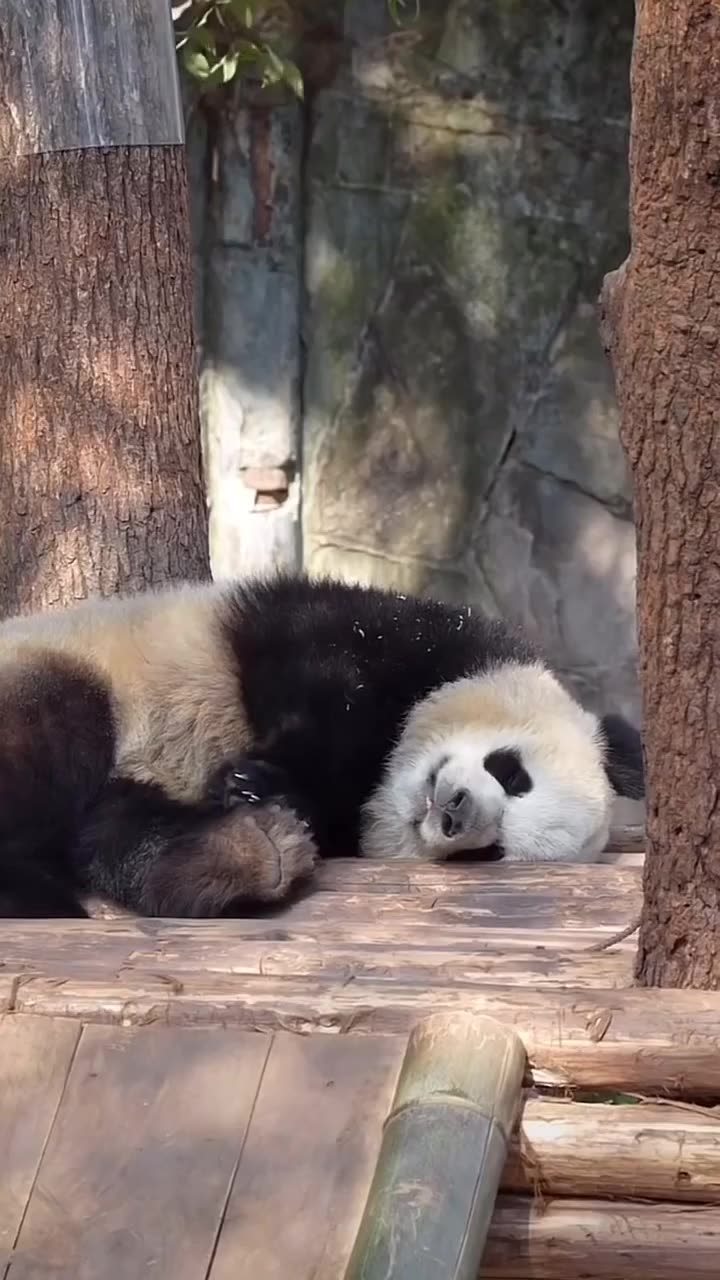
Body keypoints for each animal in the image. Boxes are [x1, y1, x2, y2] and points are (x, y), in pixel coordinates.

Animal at [0, 573, 644, 918]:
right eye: (514, 774)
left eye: (491, 853)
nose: (456, 812)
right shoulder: (391, 632)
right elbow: (322, 678)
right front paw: (259, 781)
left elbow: (112, 835)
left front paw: (249, 833)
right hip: (68, 667)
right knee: (56, 736)